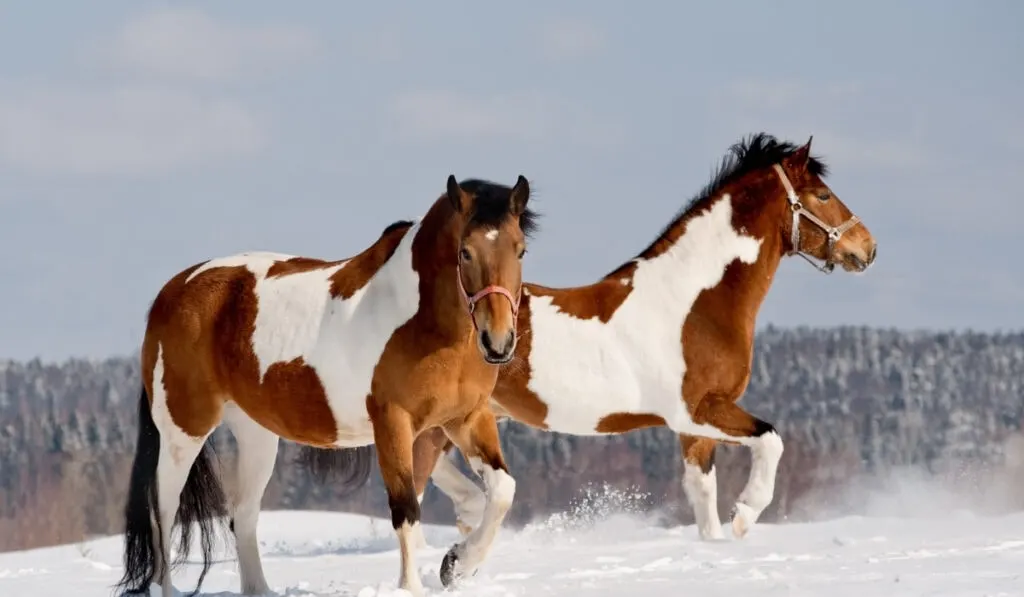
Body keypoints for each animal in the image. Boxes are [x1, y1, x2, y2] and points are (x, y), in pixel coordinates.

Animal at [115, 174, 540, 597]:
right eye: (465, 252)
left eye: (520, 250)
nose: (499, 343)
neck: (423, 322)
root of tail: (172, 292)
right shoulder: (393, 424)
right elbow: (405, 508)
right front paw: (412, 585)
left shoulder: (466, 418)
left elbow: (502, 490)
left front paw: (457, 565)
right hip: (183, 430)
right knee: (163, 513)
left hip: (256, 434)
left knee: (242, 515)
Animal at [403, 133, 877, 545]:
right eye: (823, 195)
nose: (867, 248)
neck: (694, 302)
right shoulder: (697, 410)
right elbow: (771, 438)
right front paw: (744, 516)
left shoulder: (693, 431)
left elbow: (703, 496)